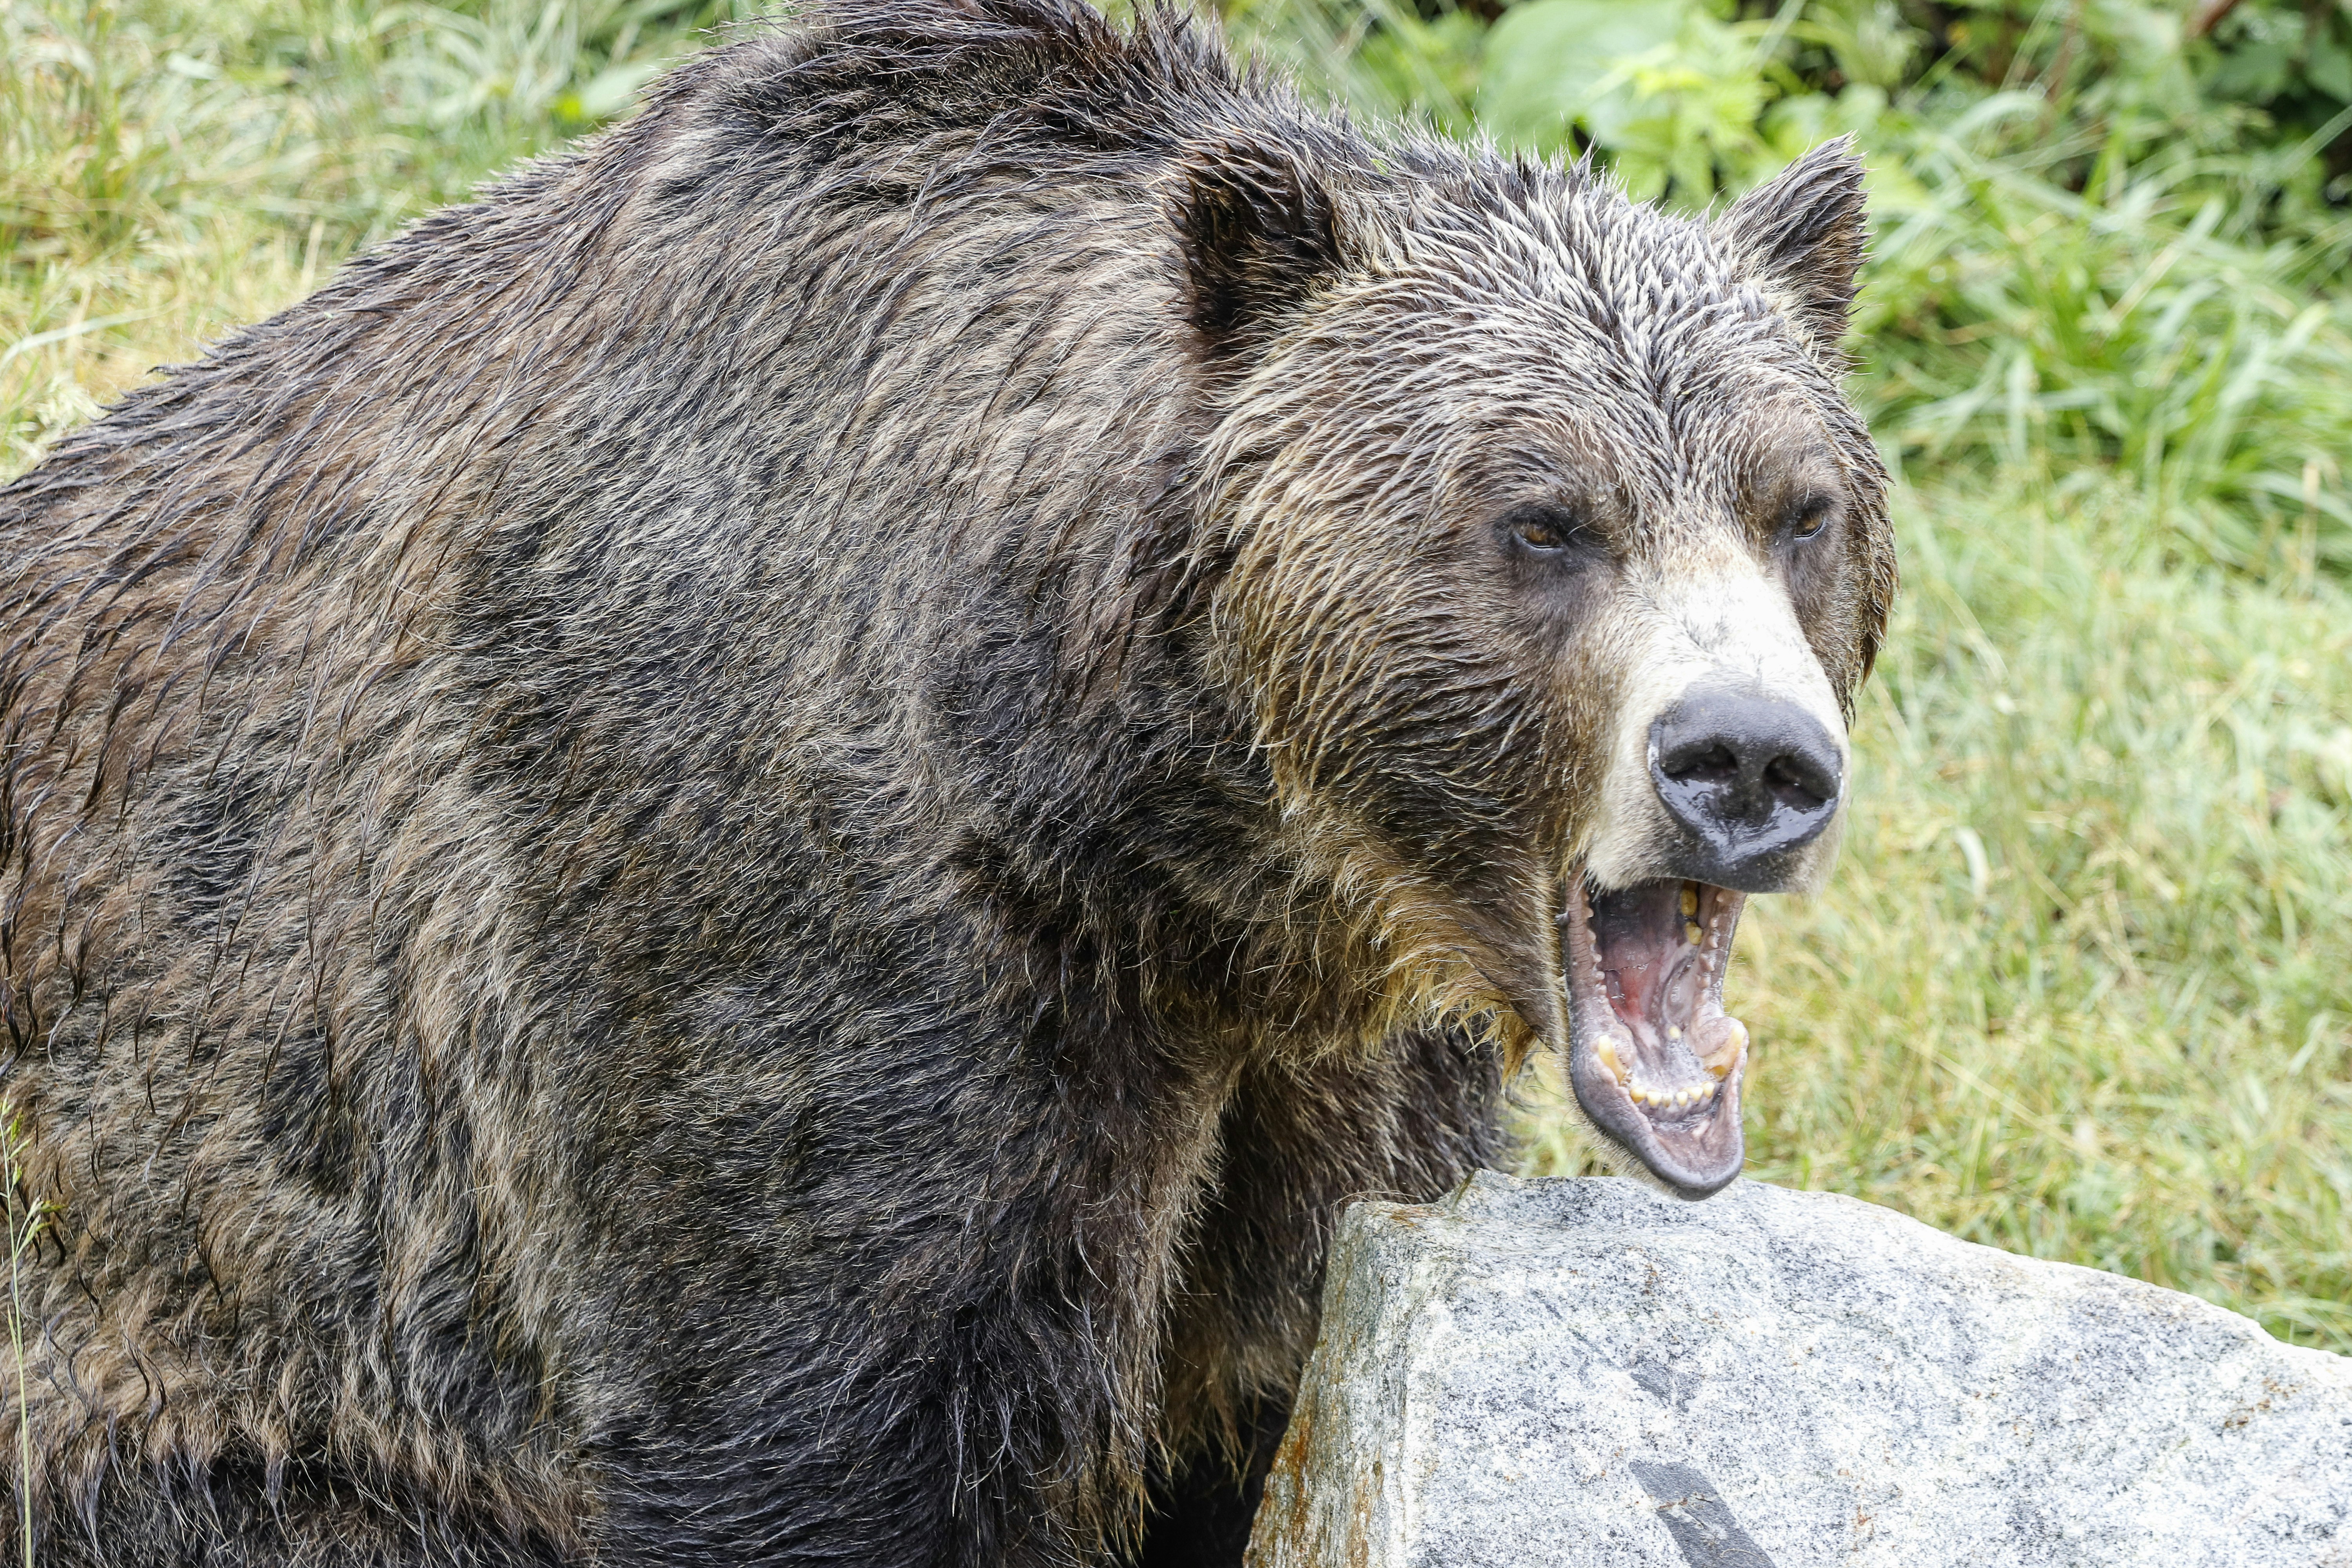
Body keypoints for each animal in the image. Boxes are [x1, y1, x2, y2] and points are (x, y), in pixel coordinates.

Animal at [0, 0, 1894, 1563]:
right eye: (1542, 517)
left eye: (1797, 505)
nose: (1747, 757)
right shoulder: (797, 947)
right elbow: (818, 1416)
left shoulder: (1314, 1090)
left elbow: (1263, 1385)